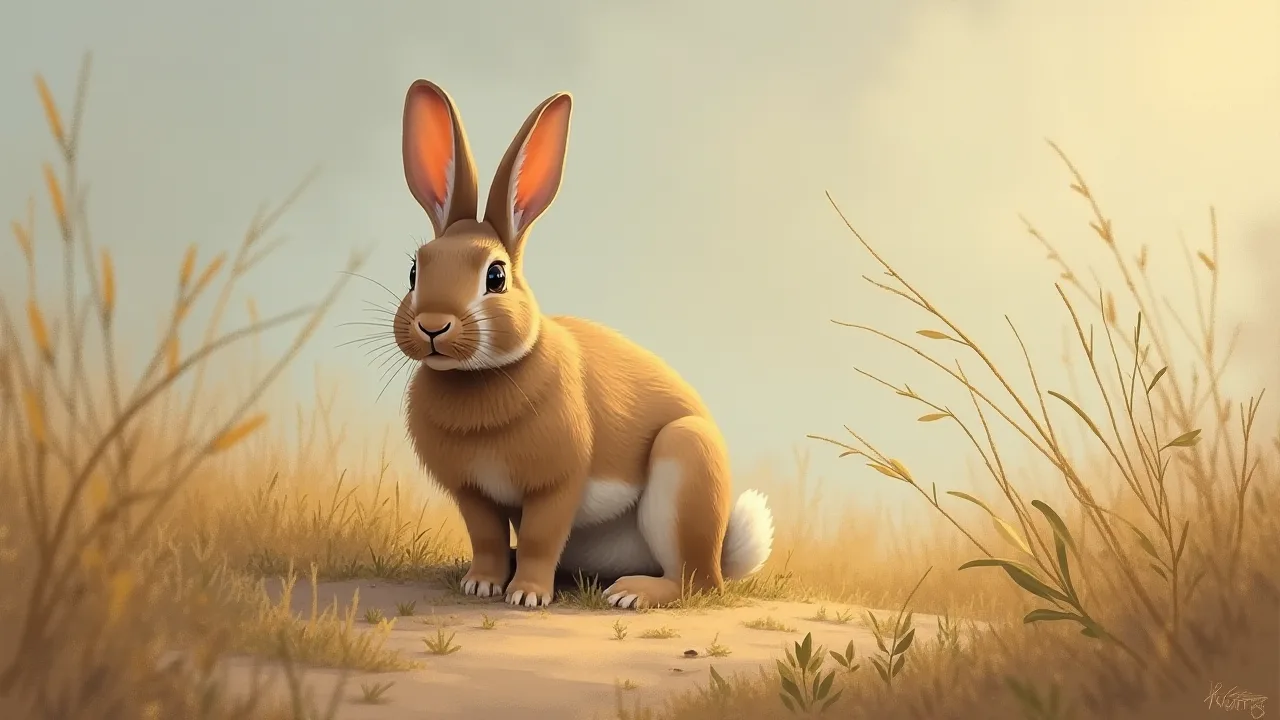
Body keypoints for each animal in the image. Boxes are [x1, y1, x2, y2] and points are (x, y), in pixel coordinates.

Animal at [392, 79, 774, 609]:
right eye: (414, 270)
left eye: (496, 276)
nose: (432, 325)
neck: (481, 375)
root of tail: (721, 556)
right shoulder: (473, 493)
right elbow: (486, 539)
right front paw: (482, 584)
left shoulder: (557, 484)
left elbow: (540, 536)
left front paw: (526, 595)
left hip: (684, 467)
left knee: (693, 581)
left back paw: (631, 593)